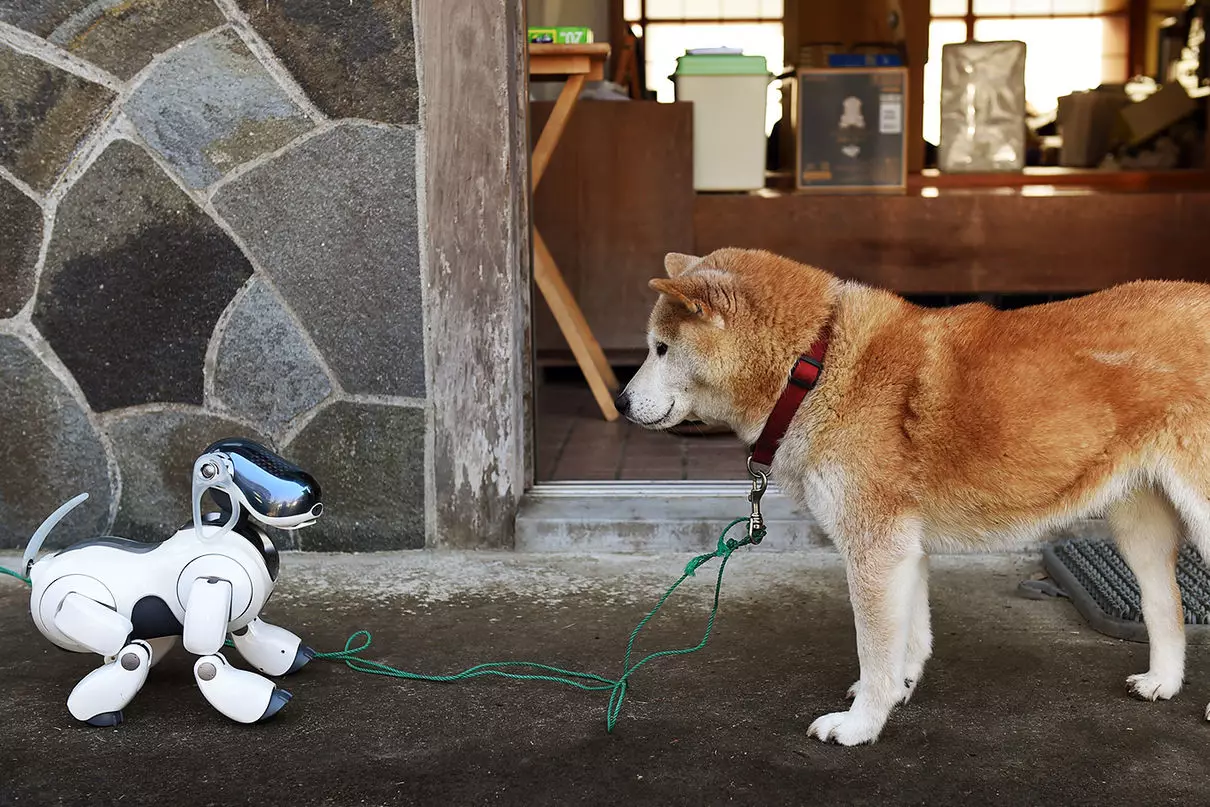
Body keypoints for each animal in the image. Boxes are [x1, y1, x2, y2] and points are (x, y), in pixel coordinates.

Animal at [21, 437, 324, 730]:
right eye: (248, 464)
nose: (312, 498)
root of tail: (39, 570)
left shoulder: (239, 615)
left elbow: (246, 630)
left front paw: (293, 655)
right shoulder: (212, 580)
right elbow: (206, 659)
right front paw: (267, 703)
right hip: (82, 606)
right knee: (130, 652)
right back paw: (98, 712)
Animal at [619, 249, 1210, 750]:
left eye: (660, 349)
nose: (621, 403)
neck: (814, 365)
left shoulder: (876, 548)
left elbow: (875, 648)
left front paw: (861, 725)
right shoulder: (904, 549)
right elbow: (907, 638)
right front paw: (895, 690)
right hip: (1137, 525)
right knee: (1167, 603)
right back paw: (1162, 681)